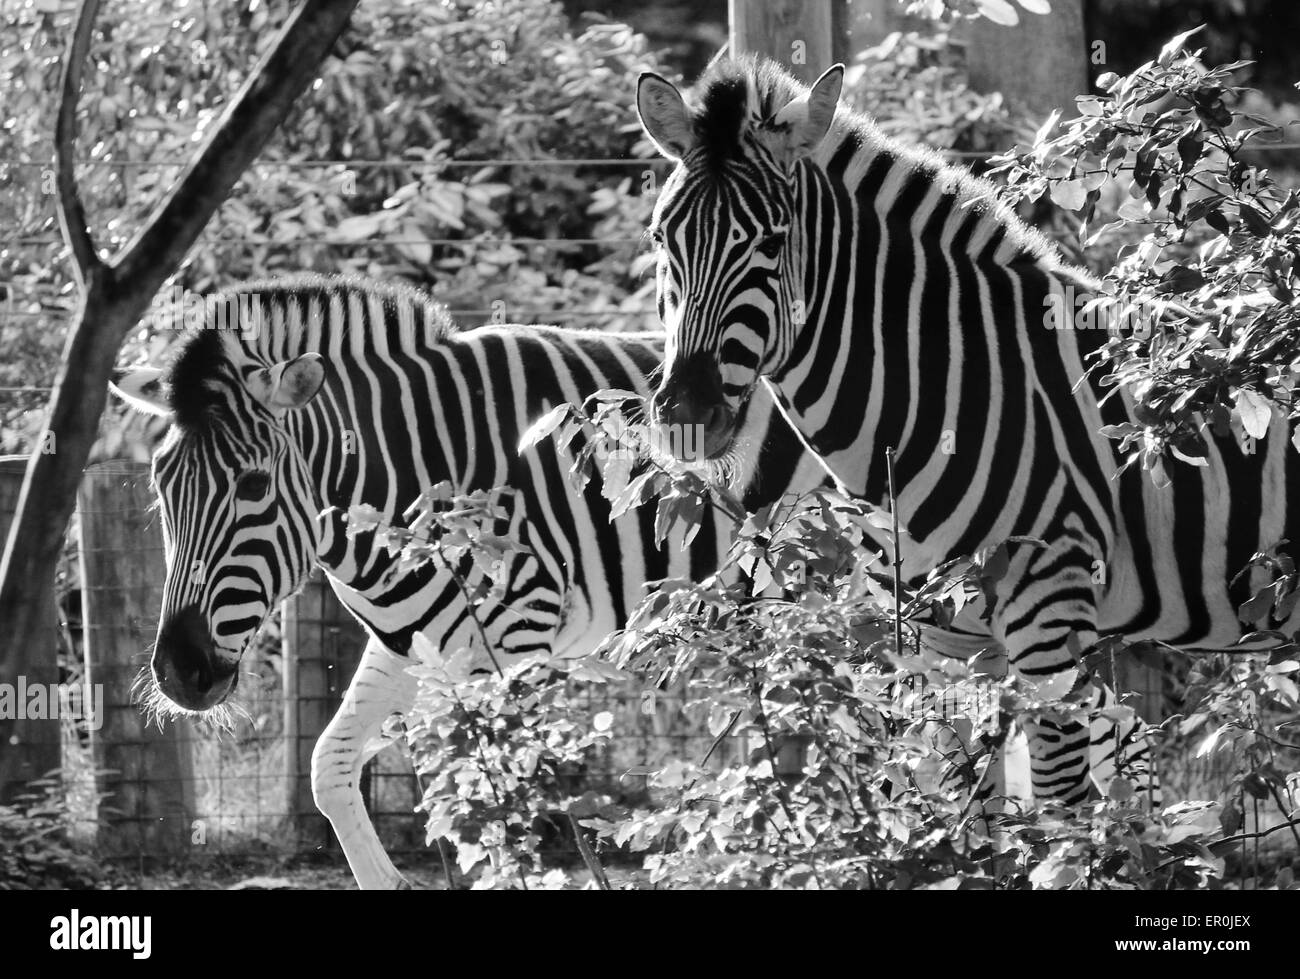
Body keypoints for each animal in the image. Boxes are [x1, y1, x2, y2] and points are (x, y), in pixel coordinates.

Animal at [110, 272, 832, 889]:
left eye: (255, 486)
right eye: (161, 487)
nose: (178, 672)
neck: (414, 476)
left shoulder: (513, 641)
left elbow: (497, 808)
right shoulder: (413, 642)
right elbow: (330, 767)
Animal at [634, 55, 1300, 806]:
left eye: (773, 244)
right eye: (661, 241)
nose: (685, 413)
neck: (945, 389)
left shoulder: (1049, 611)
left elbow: (1064, 816)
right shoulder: (943, 633)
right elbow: (953, 808)